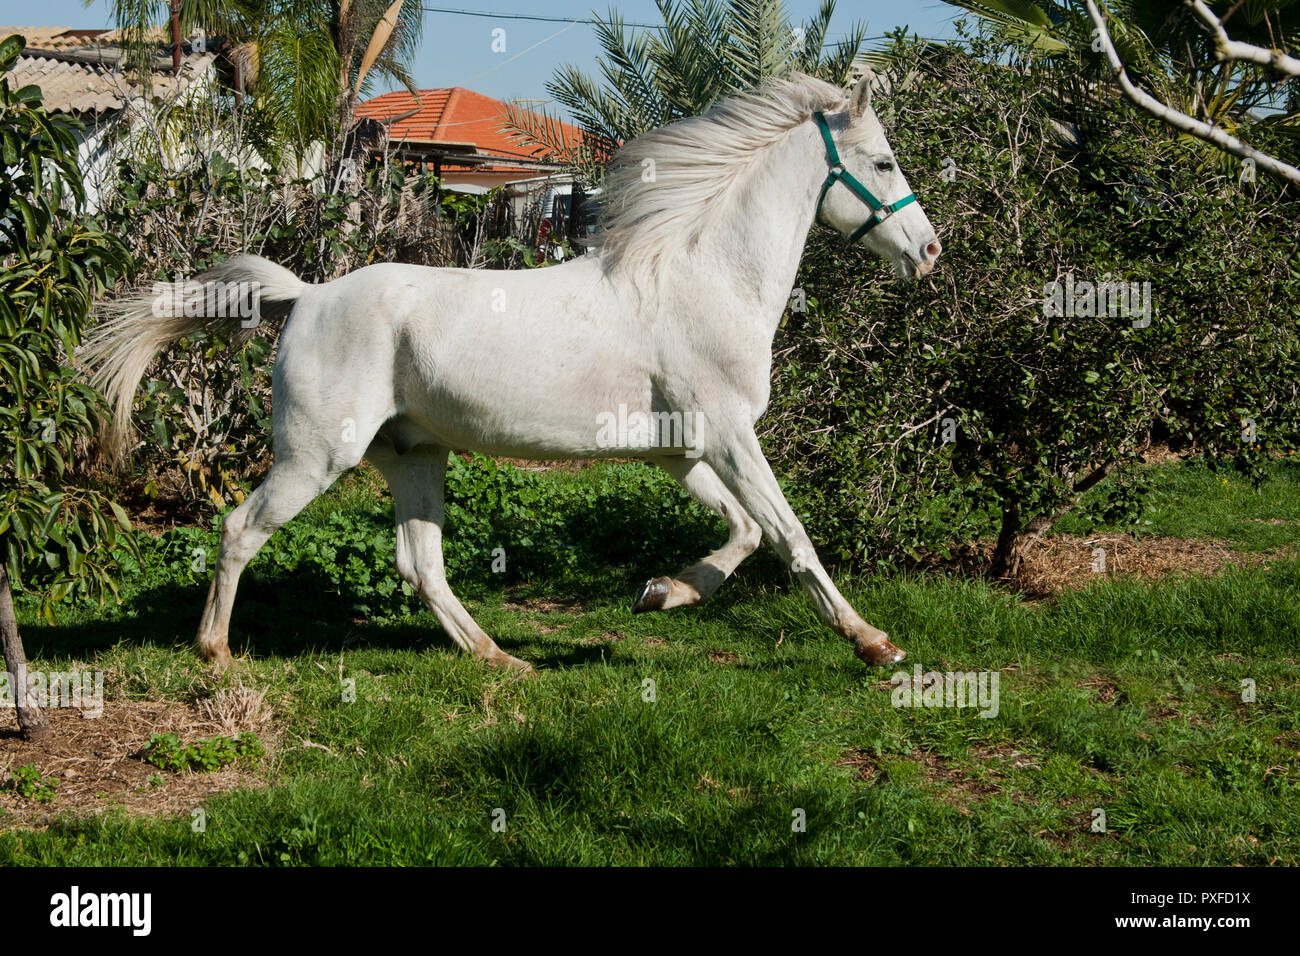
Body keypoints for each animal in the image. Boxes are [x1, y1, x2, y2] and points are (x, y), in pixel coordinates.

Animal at [82, 72, 942, 675]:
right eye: (884, 160)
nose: (927, 251)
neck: (701, 279)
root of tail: (310, 295)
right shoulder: (728, 435)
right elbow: (789, 533)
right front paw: (875, 645)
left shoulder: (685, 448)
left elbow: (747, 529)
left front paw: (664, 591)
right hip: (317, 456)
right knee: (240, 531)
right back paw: (215, 654)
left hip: (413, 454)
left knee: (420, 565)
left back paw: (500, 657)